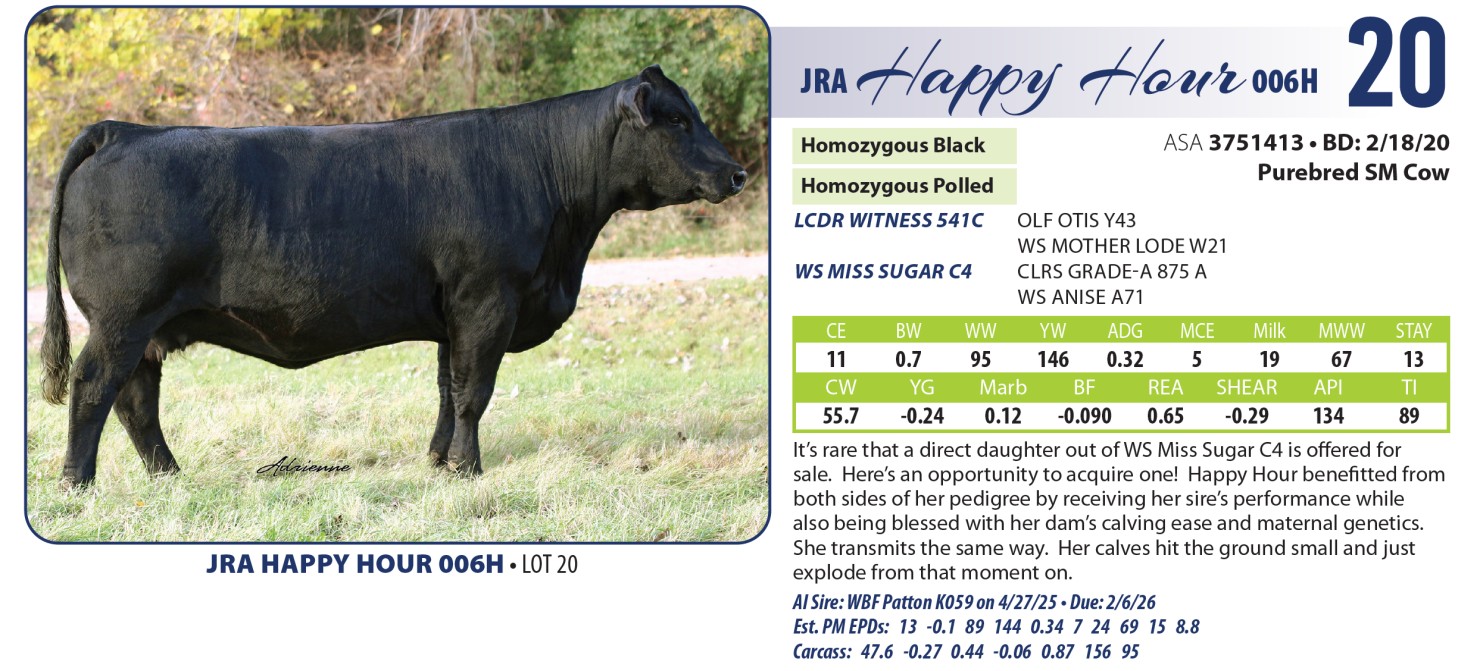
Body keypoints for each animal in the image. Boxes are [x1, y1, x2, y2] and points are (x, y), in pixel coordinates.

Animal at [39, 65, 748, 487]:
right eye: (677, 119)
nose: (738, 173)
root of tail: (124, 130)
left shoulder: (452, 313)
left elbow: (447, 389)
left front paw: (438, 462)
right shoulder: (487, 298)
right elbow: (474, 392)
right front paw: (467, 470)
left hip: (146, 328)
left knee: (136, 400)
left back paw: (169, 475)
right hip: (124, 317)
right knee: (96, 387)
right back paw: (78, 482)